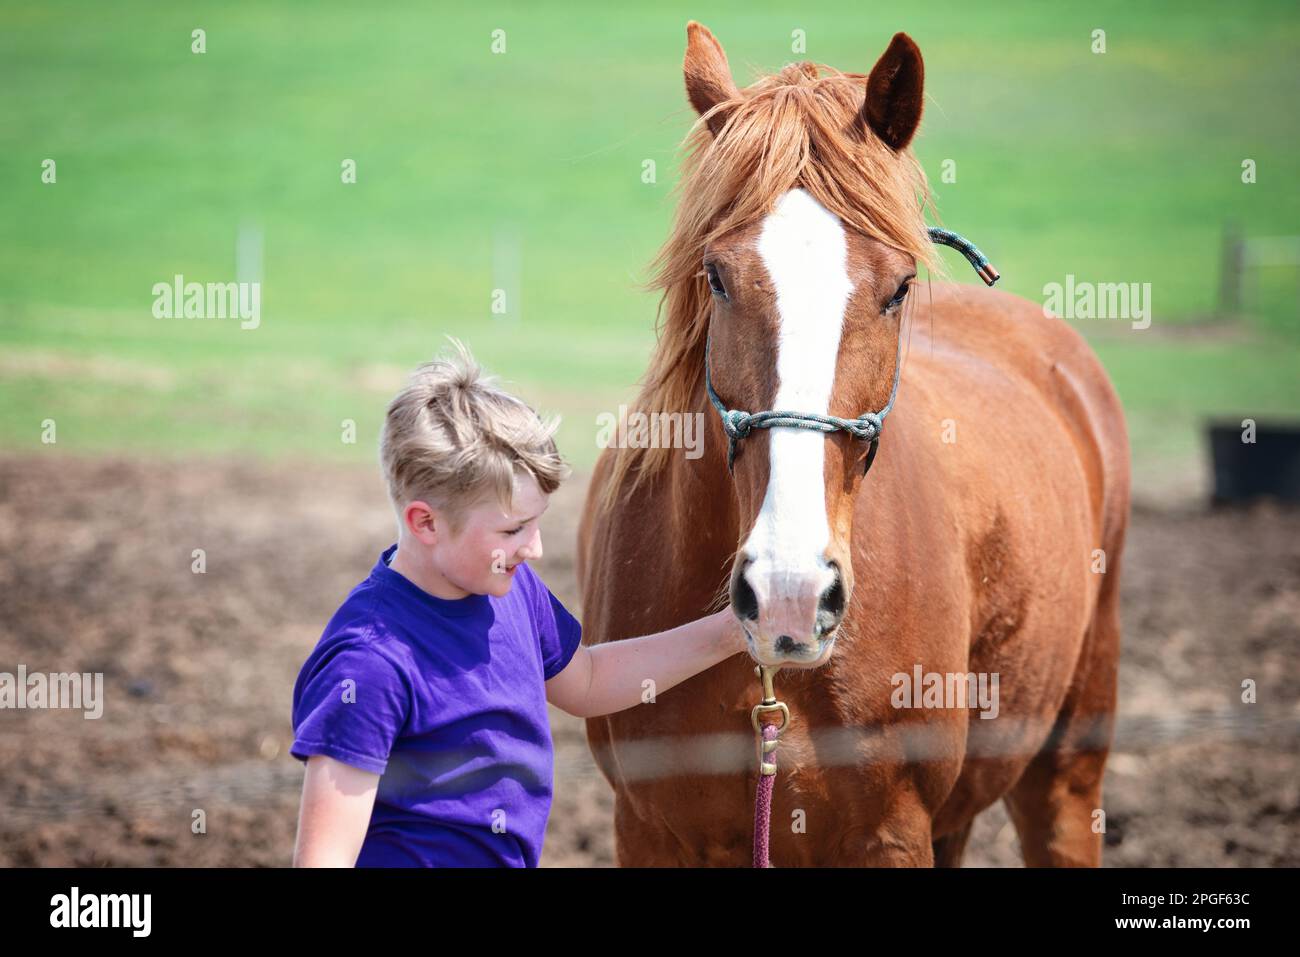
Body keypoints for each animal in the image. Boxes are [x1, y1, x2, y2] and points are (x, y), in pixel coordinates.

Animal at [575, 22, 1130, 867]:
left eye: (898, 286)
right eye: (716, 274)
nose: (791, 590)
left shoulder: (890, 832)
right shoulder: (646, 830)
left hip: (1066, 767)